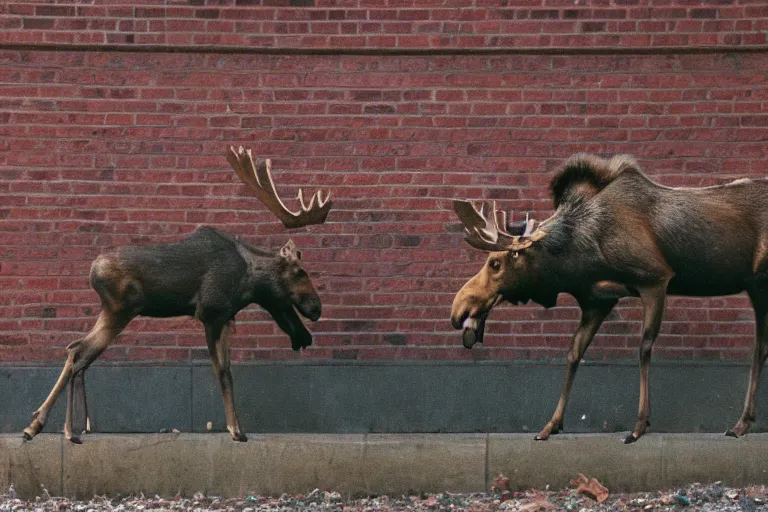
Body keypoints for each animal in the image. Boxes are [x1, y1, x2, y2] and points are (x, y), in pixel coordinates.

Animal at [22, 146, 332, 444]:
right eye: (300, 272)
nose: (317, 308)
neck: (247, 282)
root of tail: (92, 271)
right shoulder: (211, 313)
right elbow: (223, 373)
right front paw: (236, 430)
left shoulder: (227, 318)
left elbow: (228, 371)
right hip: (120, 310)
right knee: (80, 353)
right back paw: (57, 429)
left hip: (110, 311)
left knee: (75, 350)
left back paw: (51, 426)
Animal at [450, 153, 768, 443]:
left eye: (495, 263)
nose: (458, 309)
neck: (576, 257)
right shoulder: (597, 300)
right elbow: (574, 353)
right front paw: (551, 425)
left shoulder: (655, 279)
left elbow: (644, 348)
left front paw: (639, 426)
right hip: (755, 287)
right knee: (760, 347)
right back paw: (743, 422)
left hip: (760, 282)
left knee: (758, 347)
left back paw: (741, 423)